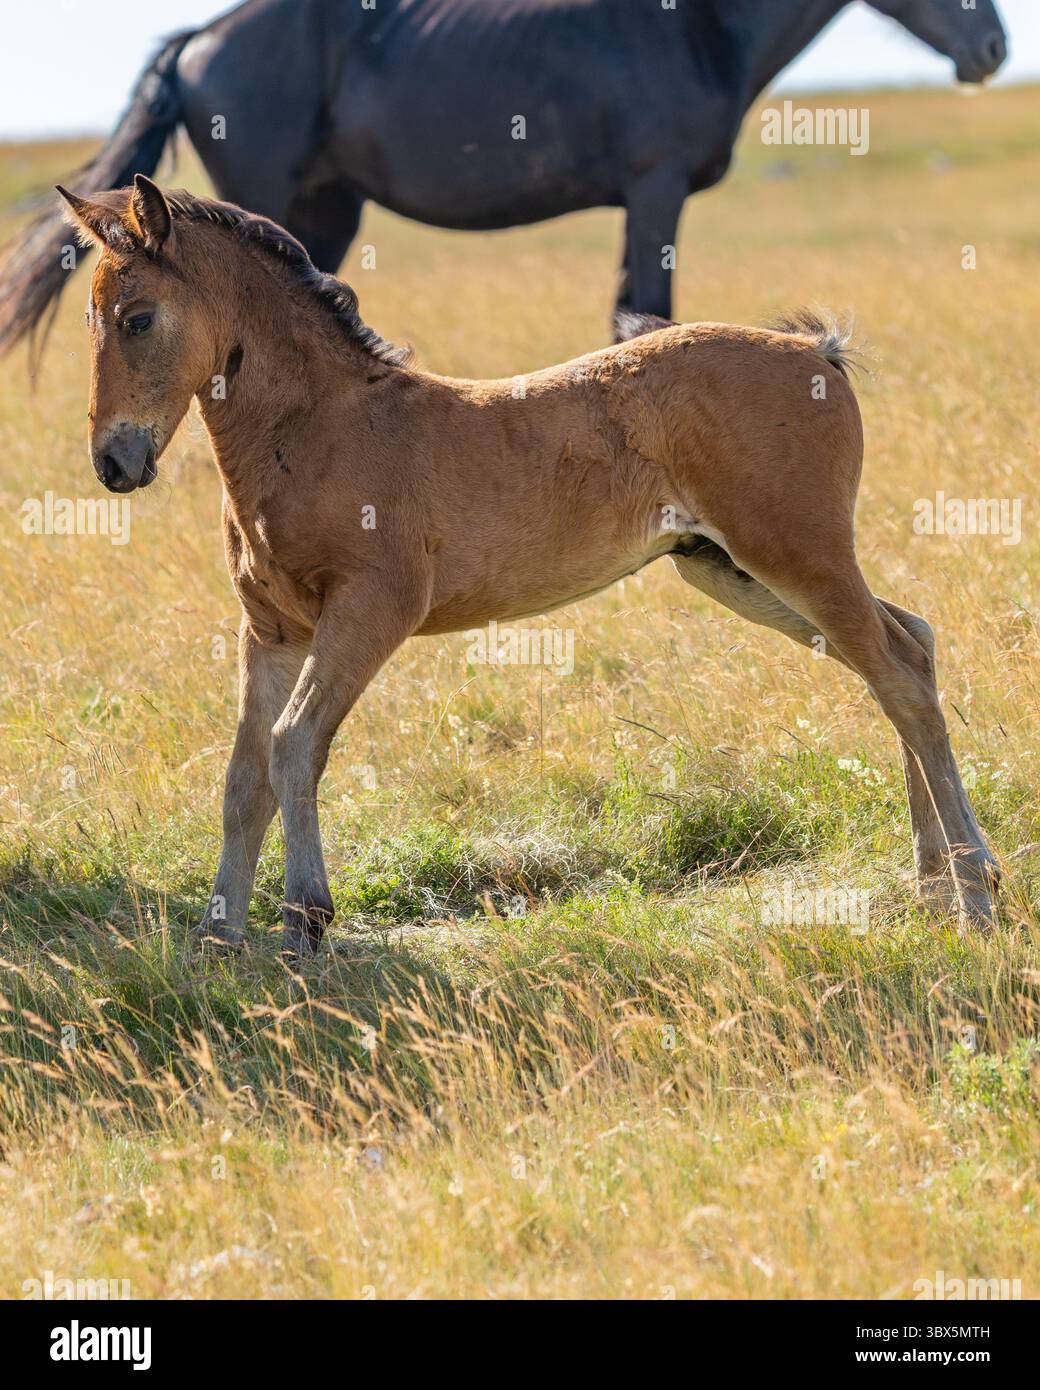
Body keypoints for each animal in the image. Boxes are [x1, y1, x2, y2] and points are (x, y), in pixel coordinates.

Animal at [3, 0, 1006, 355]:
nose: (995, 45)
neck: (696, 25)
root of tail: (199, 37)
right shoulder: (655, 188)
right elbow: (646, 307)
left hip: (325, 210)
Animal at [59, 174, 999, 952]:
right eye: (88, 320)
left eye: (139, 319)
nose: (113, 463)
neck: (318, 427)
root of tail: (818, 354)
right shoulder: (272, 630)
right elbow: (244, 773)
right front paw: (218, 937)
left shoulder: (370, 610)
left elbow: (294, 746)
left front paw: (304, 925)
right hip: (733, 569)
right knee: (907, 645)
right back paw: (935, 881)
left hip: (794, 554)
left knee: (900, 675)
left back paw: (975, 894)